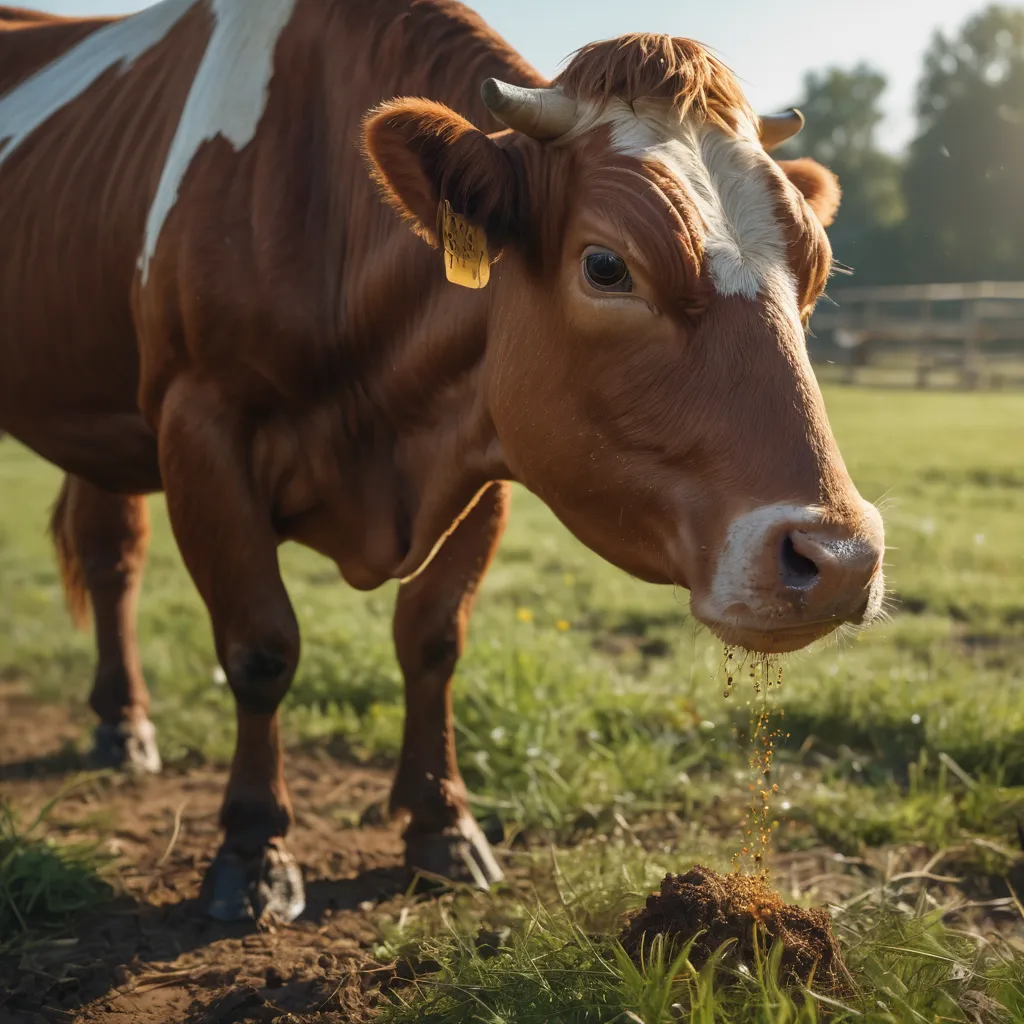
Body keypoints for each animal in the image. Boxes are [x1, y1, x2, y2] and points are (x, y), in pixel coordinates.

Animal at [0, 0, 885, 922]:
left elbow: (431, 638)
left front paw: (441, 825)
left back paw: (120, 723)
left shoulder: (479, 442)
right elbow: (260, 646)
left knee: (108, 550)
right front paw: (252, 848)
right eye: (607, 266)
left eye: (814, 273)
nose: (840, 559)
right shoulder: (200, 424)